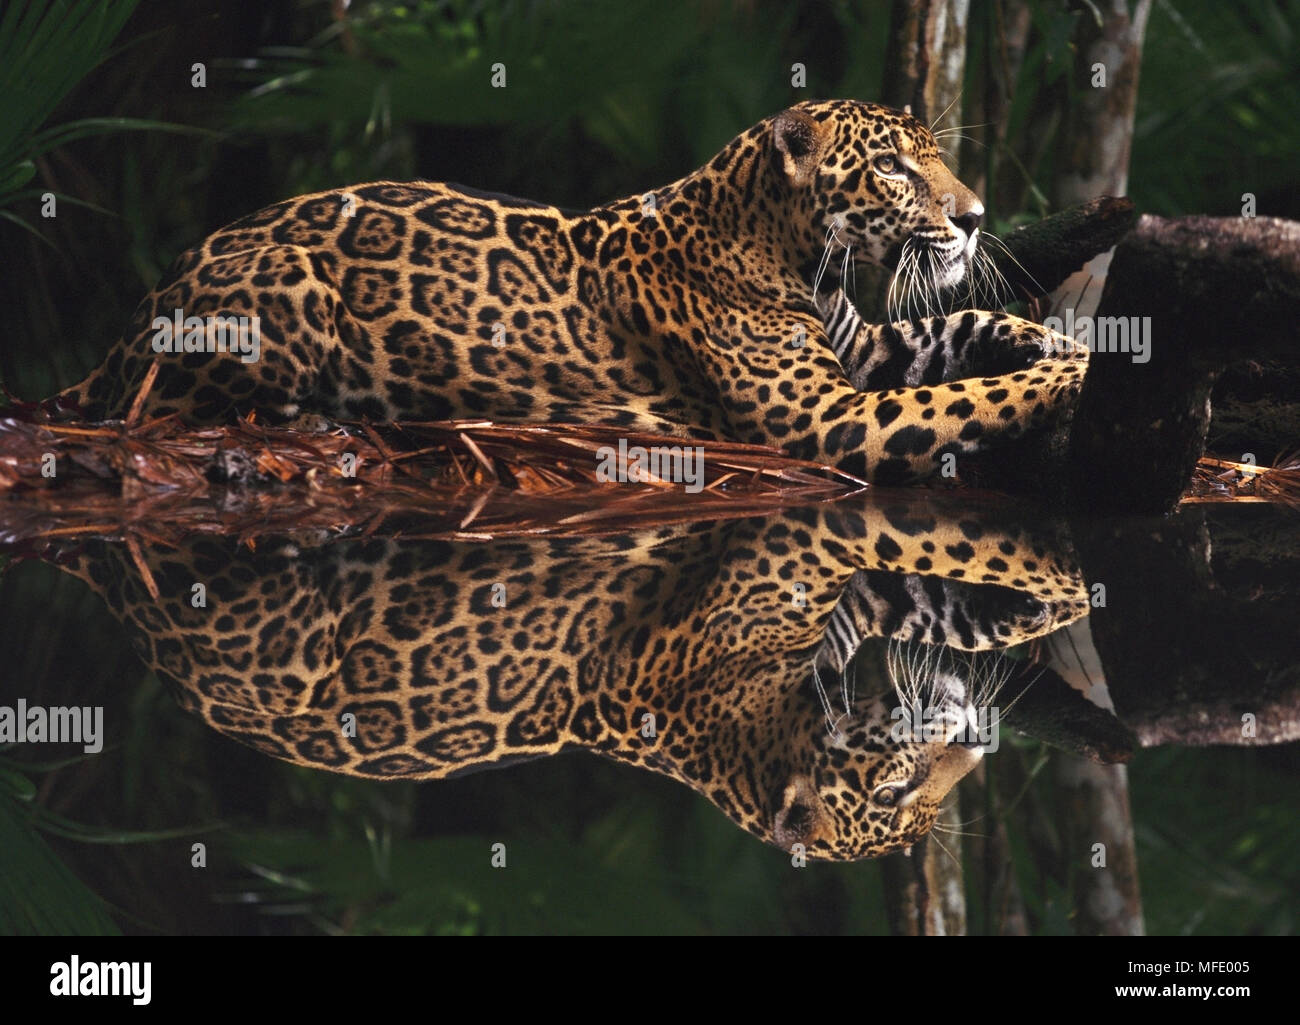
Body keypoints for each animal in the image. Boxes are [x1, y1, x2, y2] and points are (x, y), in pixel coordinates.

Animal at [48, 98, 1089, 484]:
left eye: (936, 156)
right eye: (896, 171)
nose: (977, 216)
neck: (797, 251)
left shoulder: (860, 350)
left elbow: (963, 323)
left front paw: (1068, 343)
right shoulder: (823, 419)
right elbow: (965, 397)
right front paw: (1062, 381)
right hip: (287, 294)